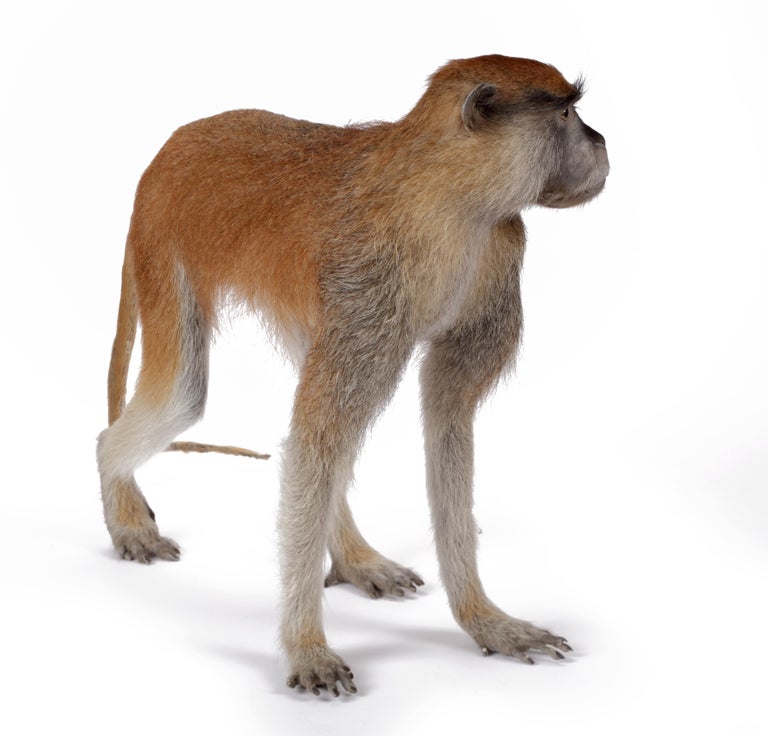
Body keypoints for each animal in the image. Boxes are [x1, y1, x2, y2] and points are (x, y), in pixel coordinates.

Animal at [96, 54, 609, 697]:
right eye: (565, 114)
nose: (601, 142)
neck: (449, 194)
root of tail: (169, 147)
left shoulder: (495, 254)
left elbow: (445, 421)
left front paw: (485, 620)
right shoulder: (371, 278)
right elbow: (319, 438)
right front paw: (307, 649)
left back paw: (352, 557)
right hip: (163, 241)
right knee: (184, 397)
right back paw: (120, 499)